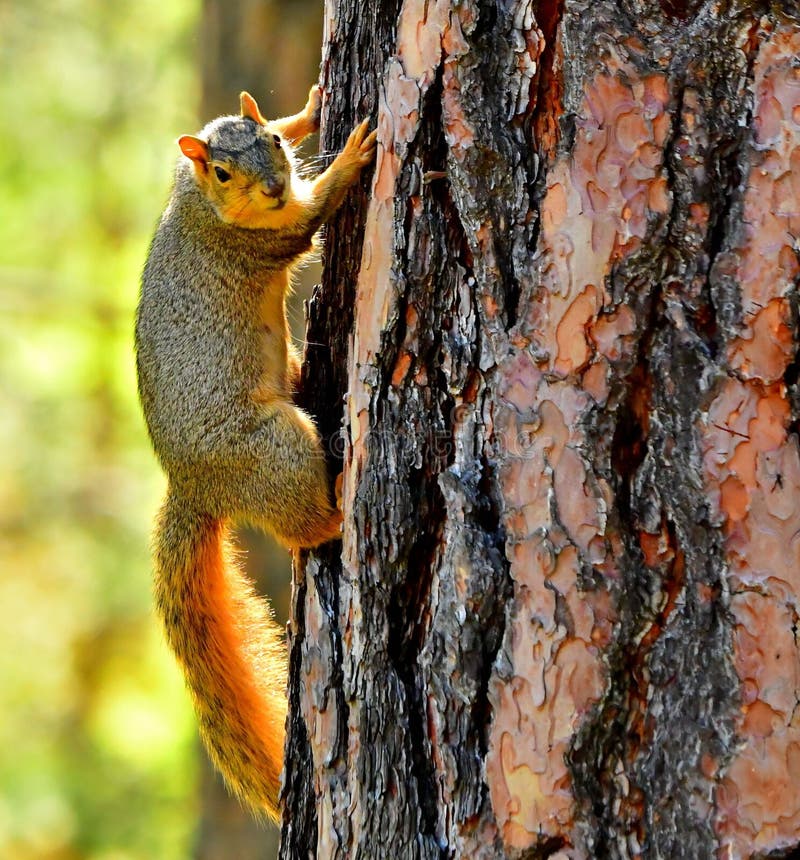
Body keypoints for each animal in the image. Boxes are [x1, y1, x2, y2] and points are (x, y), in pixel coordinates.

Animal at [135, 86, 376, 820]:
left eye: (267, 142)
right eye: (221, 171)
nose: (273, 187)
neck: (199, 203)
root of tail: (196, 488)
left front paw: (310, 111)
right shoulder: (260, 240)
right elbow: (312, 217)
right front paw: (349, 158)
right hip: (277, 447)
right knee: (307, 528)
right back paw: (339, 506)